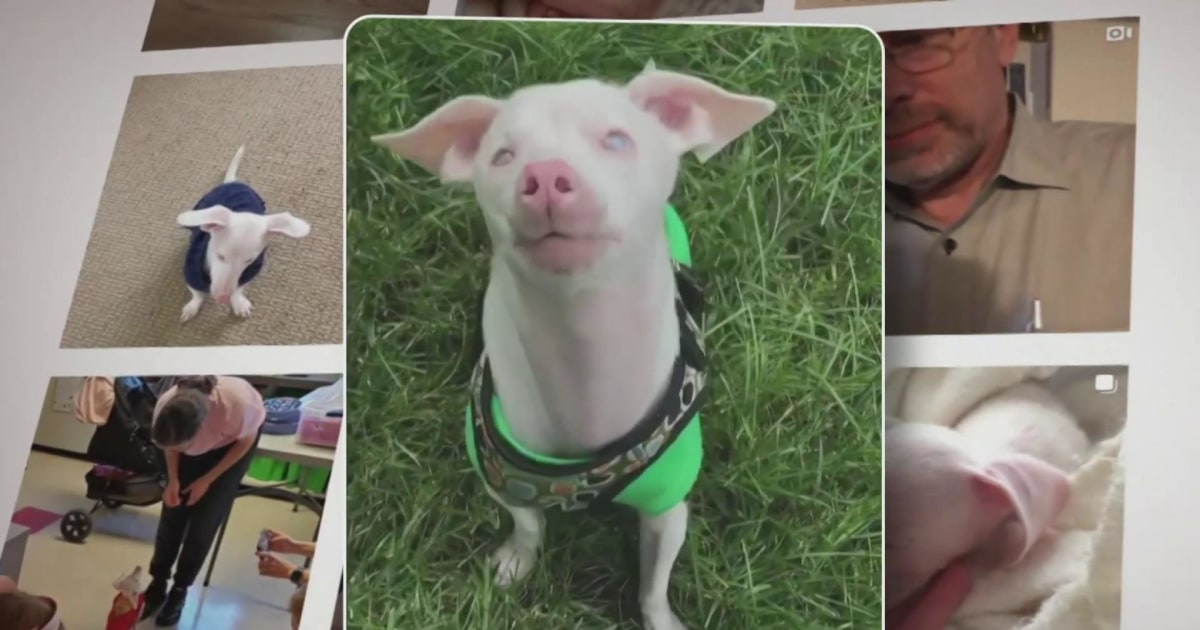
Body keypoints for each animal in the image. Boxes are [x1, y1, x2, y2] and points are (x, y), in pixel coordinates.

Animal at [175, 145, 311, 322]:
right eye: (220, 256)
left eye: (249, 260)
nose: (223, 298)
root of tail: (233, 182)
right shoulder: (191, 270)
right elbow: (197, 293)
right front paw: (193, 306)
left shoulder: (251, 271)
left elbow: (239, 288)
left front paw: (238, 302)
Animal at [372, 62, 775, 630]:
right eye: (502, 156)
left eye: (618, 140)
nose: (543, 177)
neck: (583, 350)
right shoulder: (498, 474)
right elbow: (527, 524)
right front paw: (516, 563)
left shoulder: (669, 504)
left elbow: (654, 582)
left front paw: (661, 618)